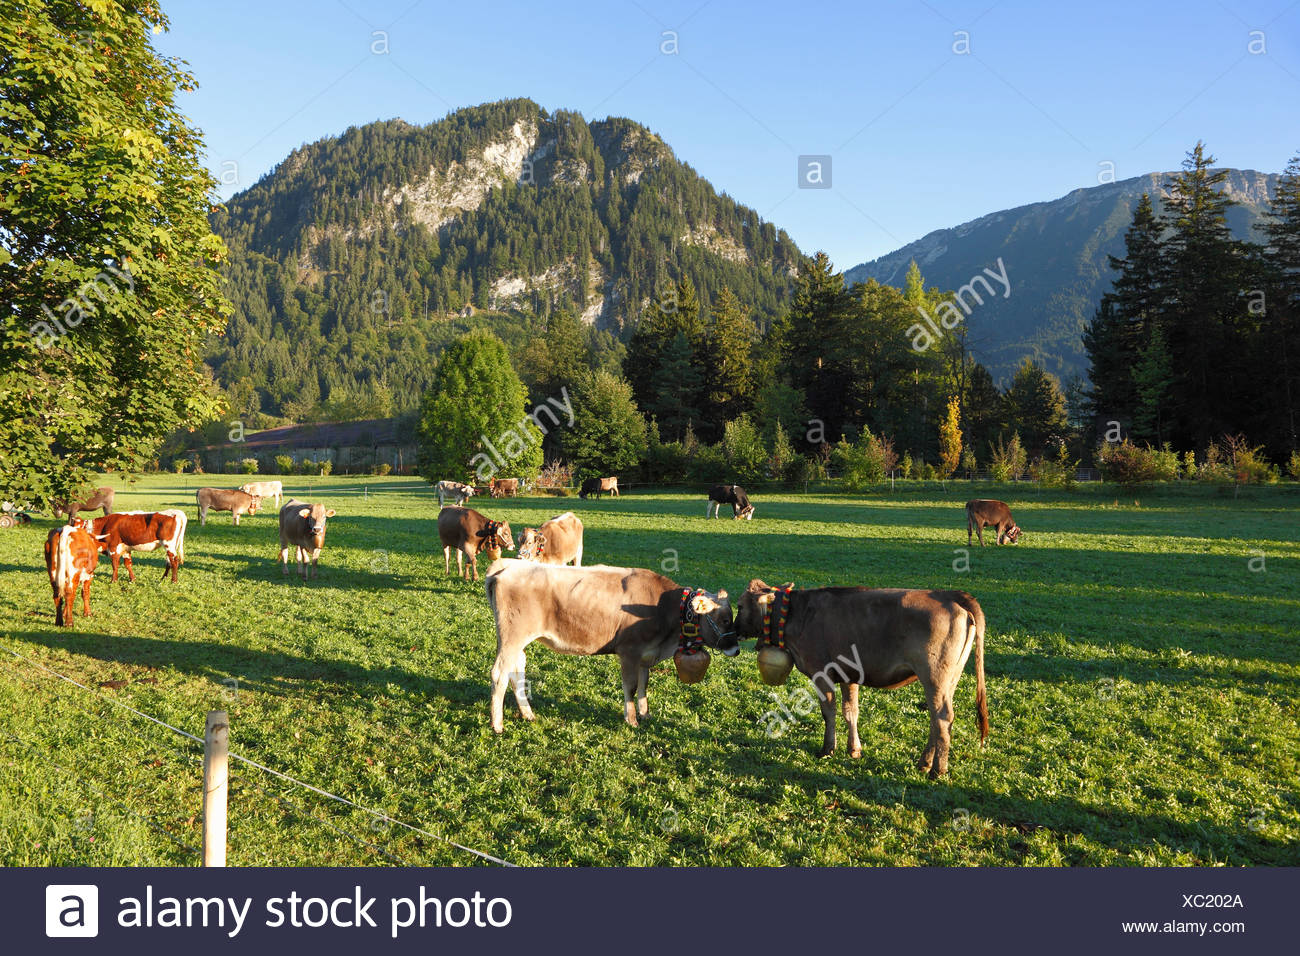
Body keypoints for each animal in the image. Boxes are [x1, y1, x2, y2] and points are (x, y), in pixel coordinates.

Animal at [485, 559, 738, 731]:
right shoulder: (629, 651)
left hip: (516, 641)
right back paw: (497, 724)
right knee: (499, 673)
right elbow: (632, 687)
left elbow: (644, 685)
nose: (736, 649)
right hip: (513, 636)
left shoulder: (646, 655)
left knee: (516, 671)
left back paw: (527, 714)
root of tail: (508, 565)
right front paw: (632, 719)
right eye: (725, 619)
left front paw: (645, 714)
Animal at [735, 580, 988, 779]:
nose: (734, 629)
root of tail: (948, 595)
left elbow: (829, 712)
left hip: (934, 677)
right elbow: (851, 711)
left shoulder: (821, 673)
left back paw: (937, 770)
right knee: (937, 720)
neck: (797, 613)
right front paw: (854, 749)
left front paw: (828, 749)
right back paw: (924, 763)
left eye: (739, 605)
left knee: (942, 718)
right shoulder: (849, 675)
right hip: (949, 680)